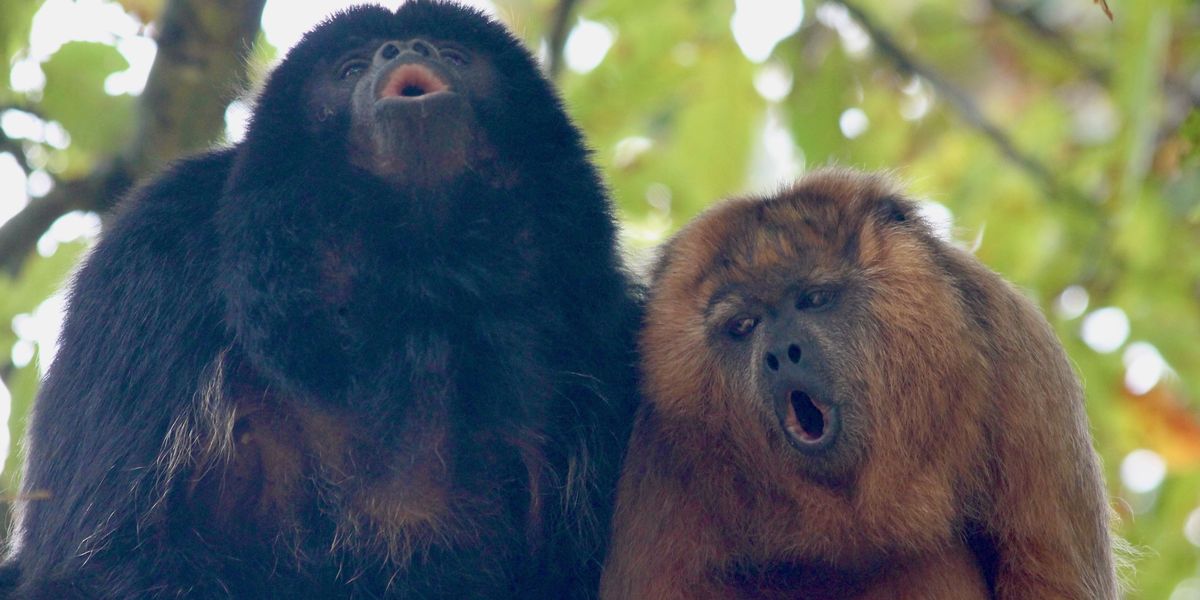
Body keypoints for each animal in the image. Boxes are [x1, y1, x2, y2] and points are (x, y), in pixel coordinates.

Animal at [5, 3, 640, 598]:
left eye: (455, 55)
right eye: (351, 67)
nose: (404, 47)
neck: (414, 291)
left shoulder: (602, 323)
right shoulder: (155, 256)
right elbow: (95, 561)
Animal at [601, 168, 1117, 599]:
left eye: (815, 298)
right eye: (744, 325)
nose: (780, 353)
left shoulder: (1022, 360)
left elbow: (1053, 578)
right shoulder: (667, 450)